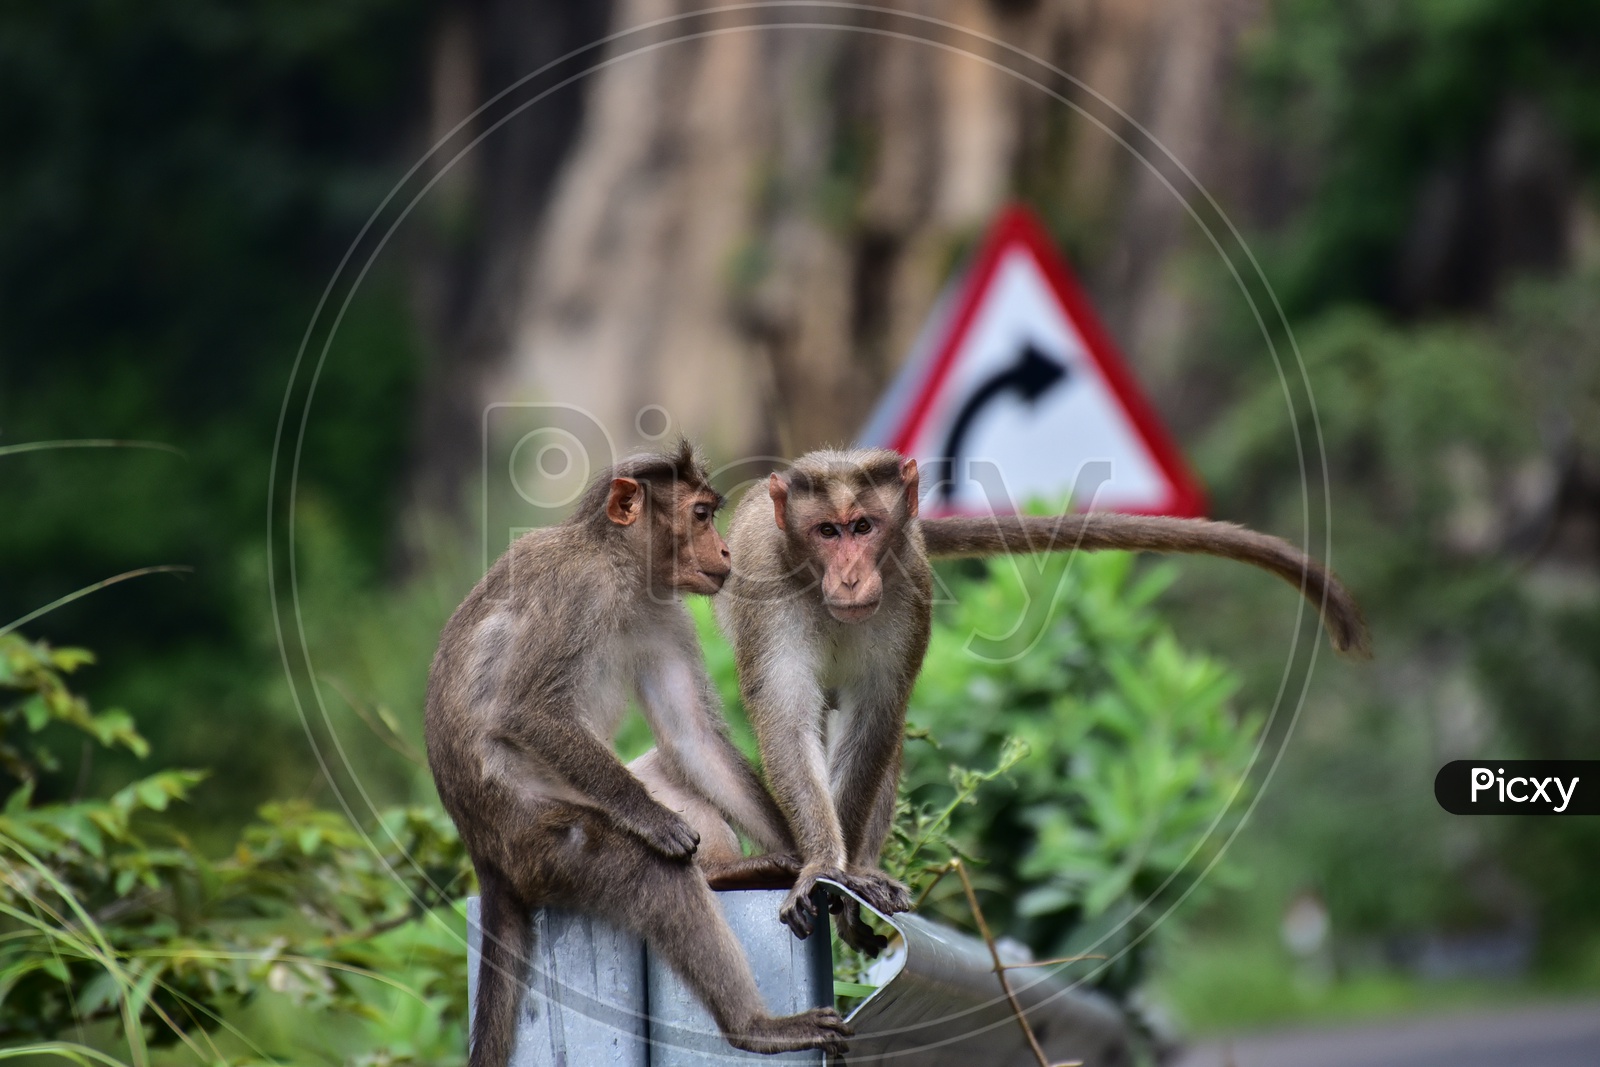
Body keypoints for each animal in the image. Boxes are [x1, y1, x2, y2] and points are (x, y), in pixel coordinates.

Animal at [424, 441, 850, 1067]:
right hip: (546, 846)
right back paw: (752, 1027)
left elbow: (693, 736)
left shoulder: (663, 612)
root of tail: (487, 858)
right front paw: (655, 819)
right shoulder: (577, 590)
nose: (725, 550)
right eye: (701, 515)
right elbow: (527, 712)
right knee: (655, 874)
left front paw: (806, 860)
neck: (620, 569)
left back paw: (731, 873)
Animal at [718, 447, 1369, 952]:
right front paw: (823, 866)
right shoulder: (766, 588)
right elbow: (785, 721)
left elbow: (877, 719)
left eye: (864, 527)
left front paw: (848, 876)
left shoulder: (910, 584)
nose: (851, 577)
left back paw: (867, 868)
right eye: (827, 532)